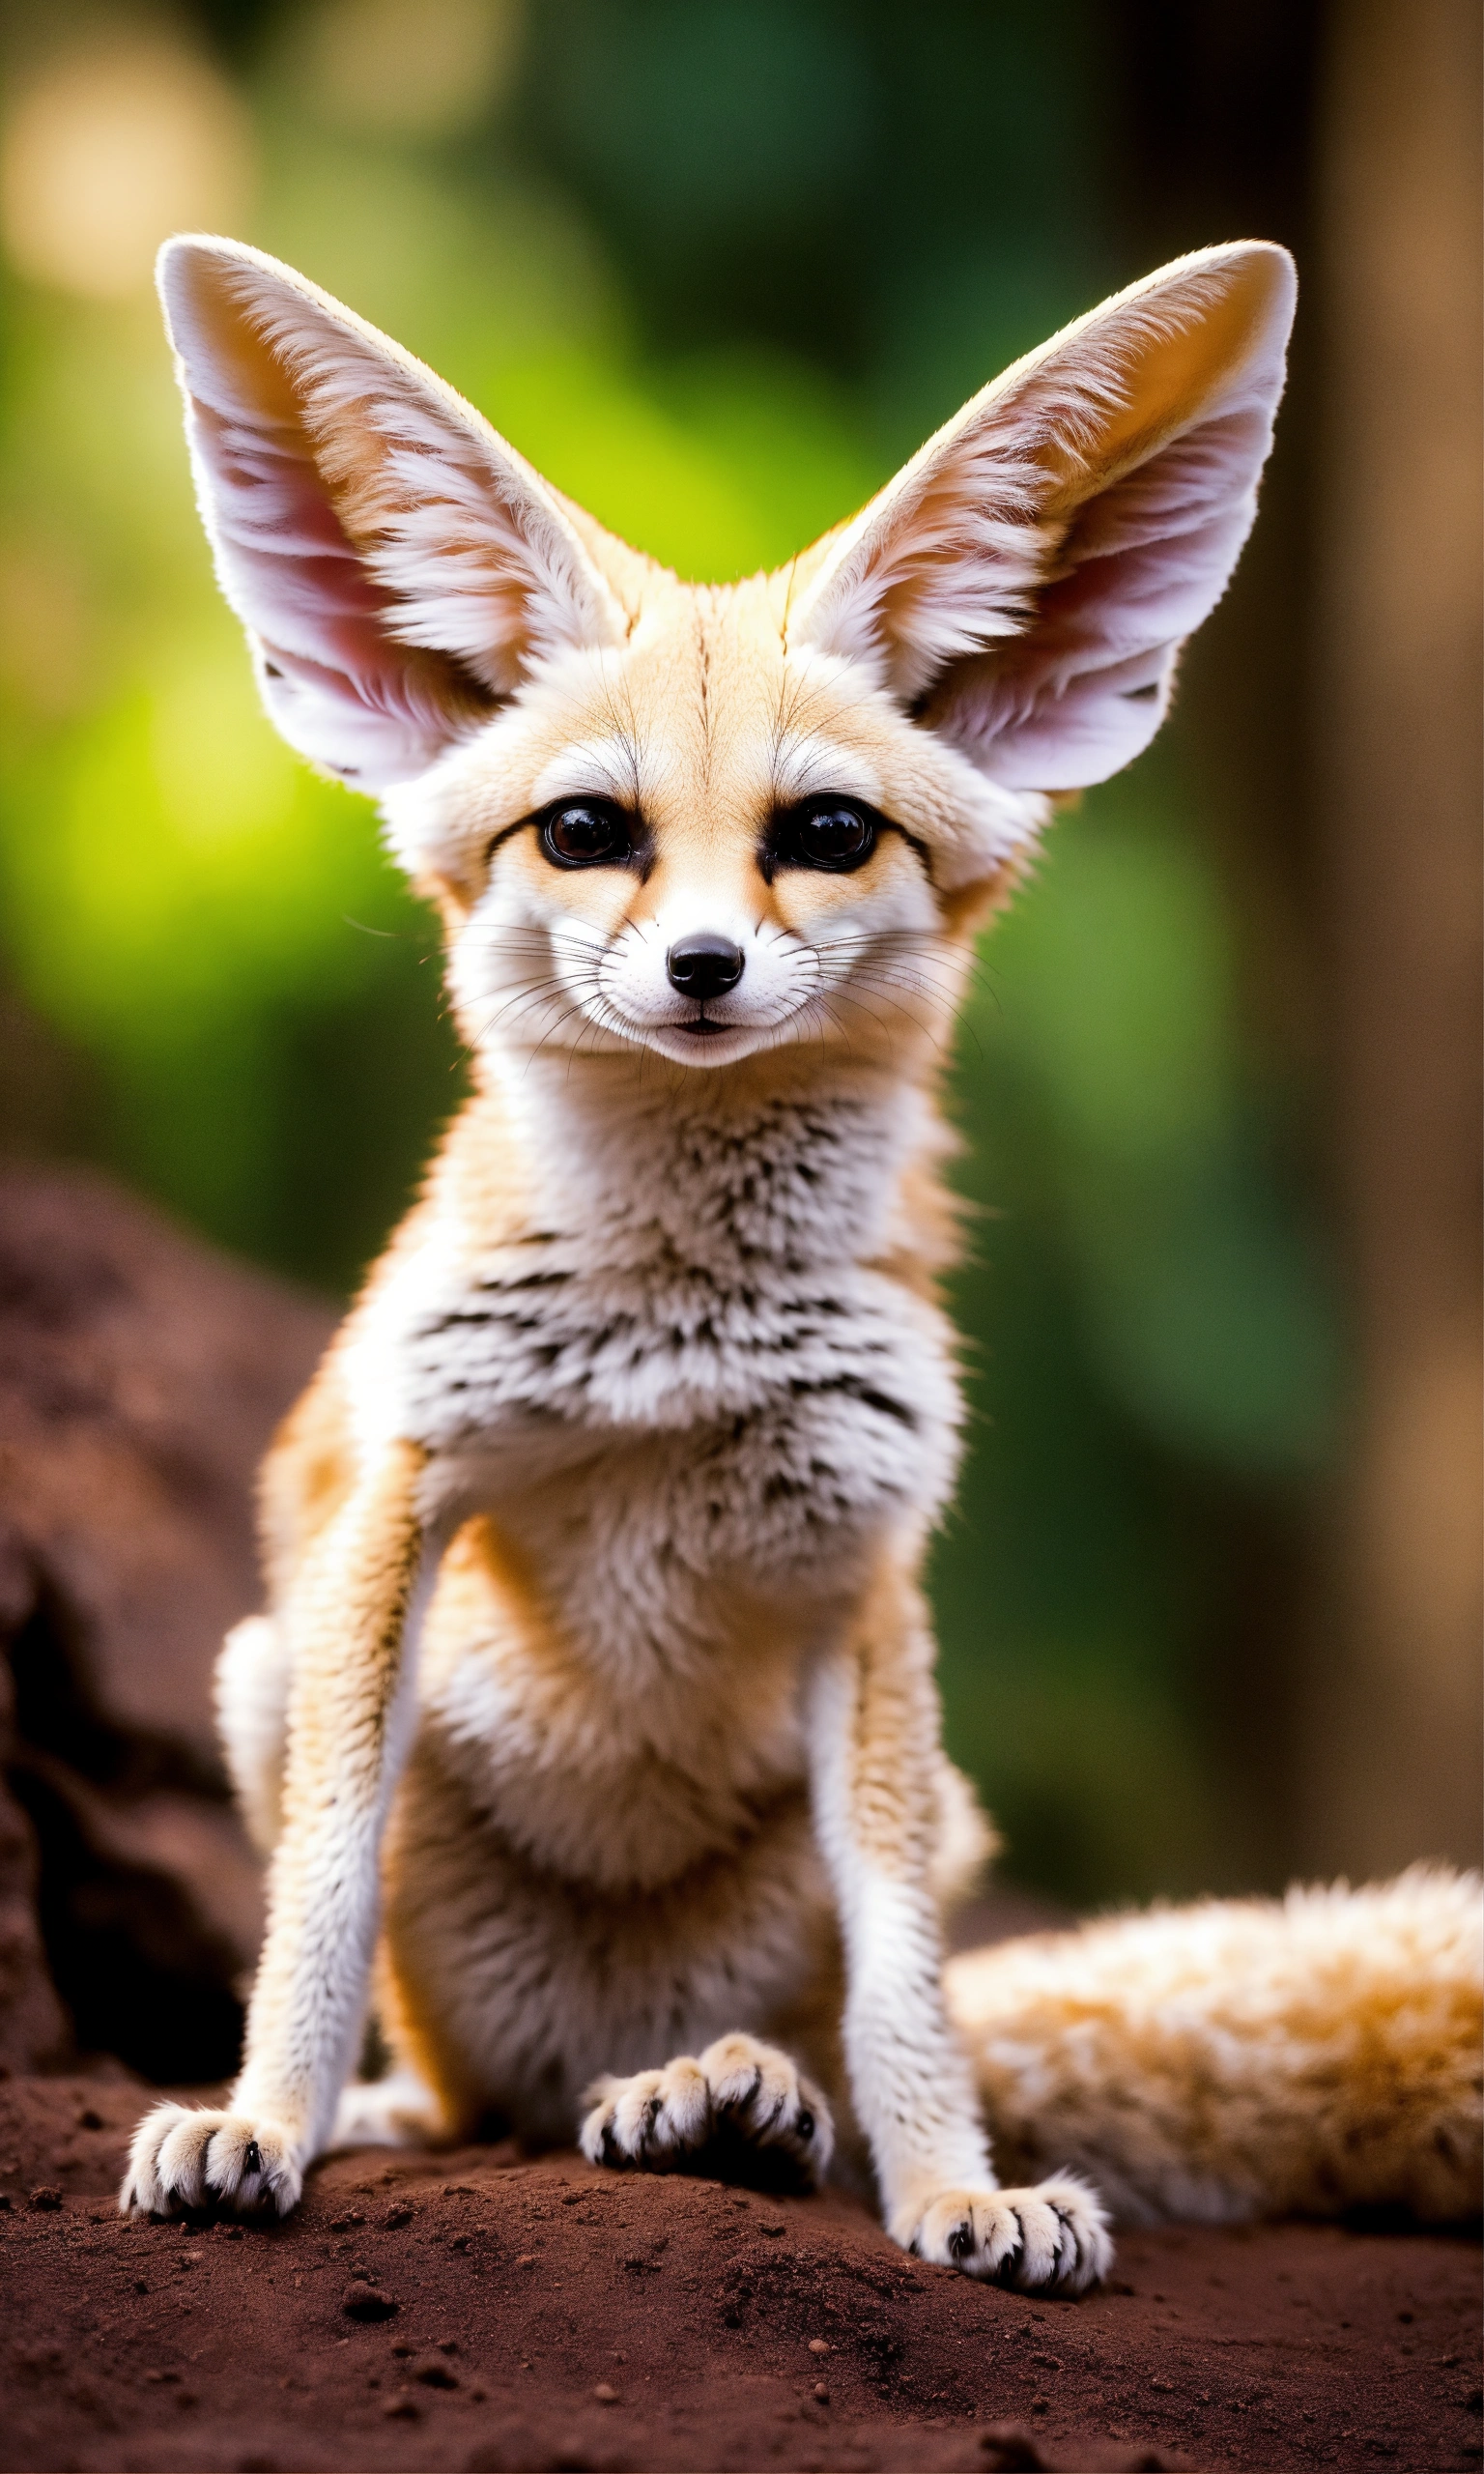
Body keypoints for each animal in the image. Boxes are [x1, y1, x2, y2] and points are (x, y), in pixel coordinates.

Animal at [121, 233, 1482, 2286]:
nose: (702, 969)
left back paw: (727, 2103)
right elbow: (317, 1896)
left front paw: (955, 2192)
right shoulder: (400, 1490)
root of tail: (584, 2043)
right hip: (261, 1680)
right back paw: (432, 2113)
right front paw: (264, 2122)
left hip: (907, 1832)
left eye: (824, 834)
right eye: (586, 833)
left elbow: (907, 1984)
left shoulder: (870, 1571)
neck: (676, 1334)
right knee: (472, 2094)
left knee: (800, 2049)